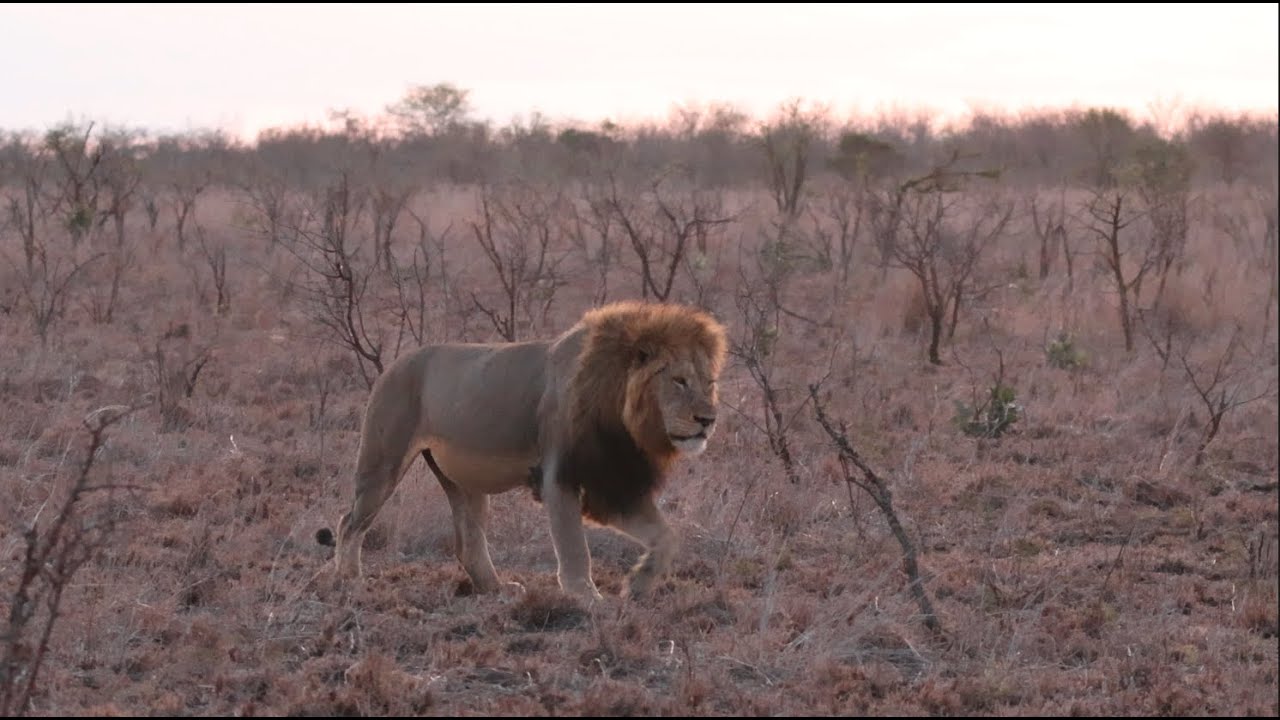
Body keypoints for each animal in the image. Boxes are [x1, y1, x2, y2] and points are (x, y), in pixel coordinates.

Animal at [316, 301, 727, 600]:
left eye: (709, 383)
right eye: (678, 381)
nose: (708, 419)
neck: (623, 417)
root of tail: (394, 364)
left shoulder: (610, 482)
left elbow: (668, 536)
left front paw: (638, 584)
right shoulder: (559, 476)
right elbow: (574, 547)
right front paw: (587, 598)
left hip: (463, 482)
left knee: (468, 542)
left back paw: (496, 589)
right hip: (383, 462)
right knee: (349, 522)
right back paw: (349, 580)